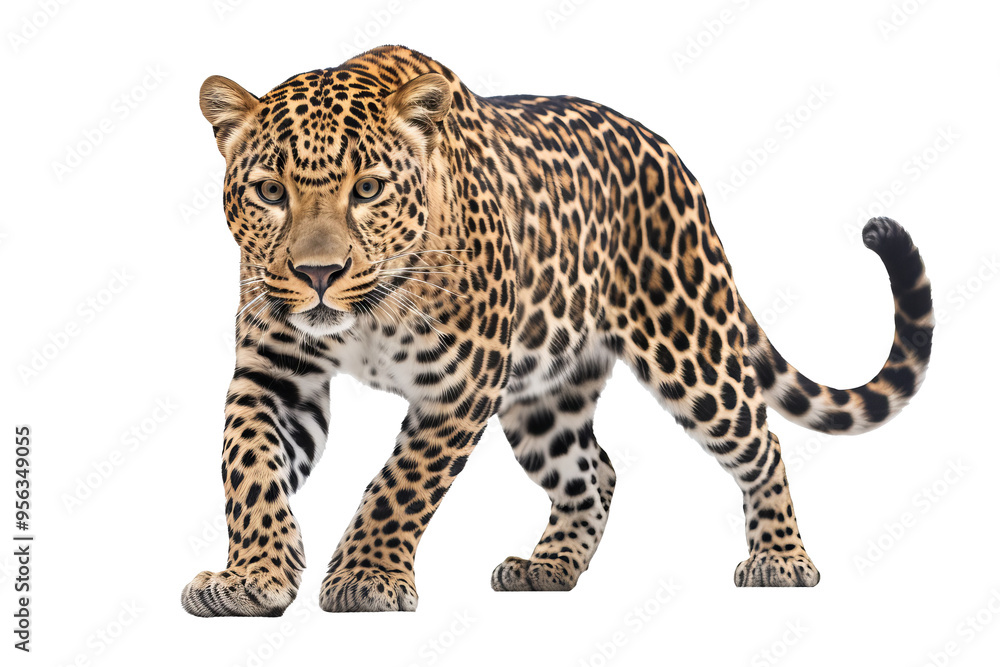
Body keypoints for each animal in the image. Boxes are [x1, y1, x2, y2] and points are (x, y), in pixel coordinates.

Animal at [181, 45, 934, 616]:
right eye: (270, 191)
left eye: (366, 189)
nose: (318, 273)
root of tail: (671, 157)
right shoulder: (275, 374)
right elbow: (249, 468)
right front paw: (253, 575)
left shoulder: (462, 381)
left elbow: (401, 483)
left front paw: (366, 575)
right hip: (546, 394)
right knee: (592, 470)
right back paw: (547, 566)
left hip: (690, 343)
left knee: (760, 441)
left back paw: (781, 558)